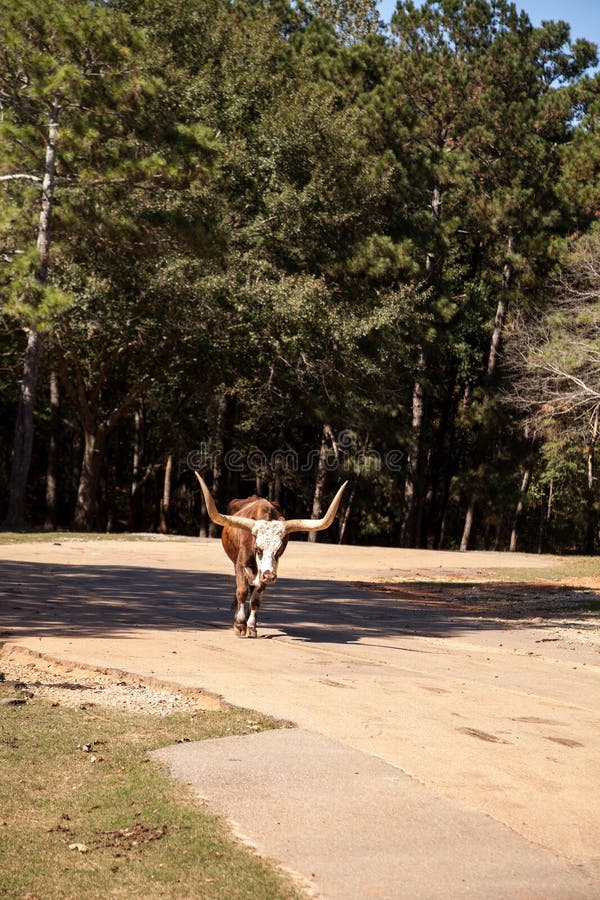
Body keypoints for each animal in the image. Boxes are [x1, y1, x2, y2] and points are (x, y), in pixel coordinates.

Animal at [195, 474, 347, 637]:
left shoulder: (264, 574)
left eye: (279, 550)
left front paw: (251, 626)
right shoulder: (241, 565)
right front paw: (240, 625)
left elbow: (256, 599)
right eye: (258, 549)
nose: (269, 576)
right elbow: (241, 591)